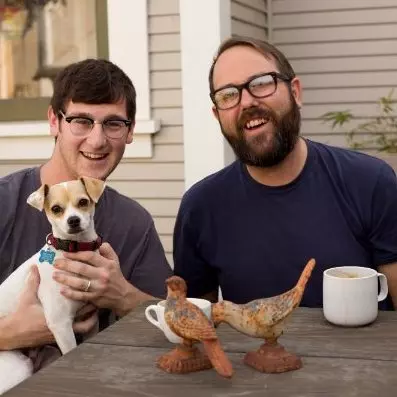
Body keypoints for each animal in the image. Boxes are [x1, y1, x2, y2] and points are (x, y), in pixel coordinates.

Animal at [0, 176, 105, 392]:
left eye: (83, 202)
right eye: (56, 209)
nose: (73, 220)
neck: (72, 249)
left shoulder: (91, 323)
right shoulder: (61, 324)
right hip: (18, 367)